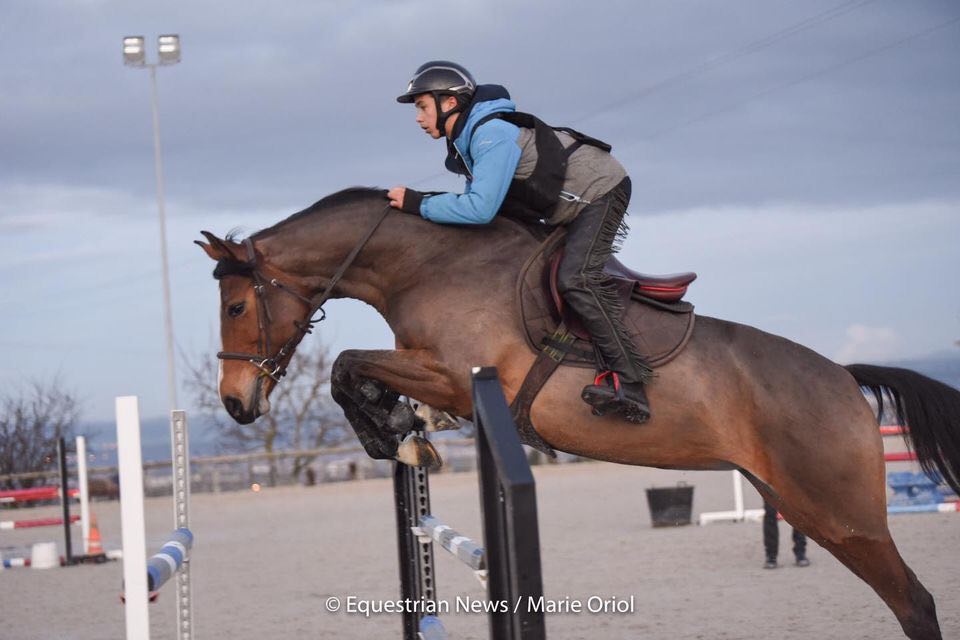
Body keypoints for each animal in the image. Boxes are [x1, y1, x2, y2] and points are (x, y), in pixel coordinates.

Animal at [196, 187, 960, 639]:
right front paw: (411, 434)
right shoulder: (438, 375)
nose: (237, 402)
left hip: (843, 513)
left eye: (234, 307)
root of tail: (844, 379)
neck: (429, 265)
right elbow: (358, 371)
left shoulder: (457, 376)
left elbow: (347, 363)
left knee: (914, 602)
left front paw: (397, 437)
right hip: (805, 507)